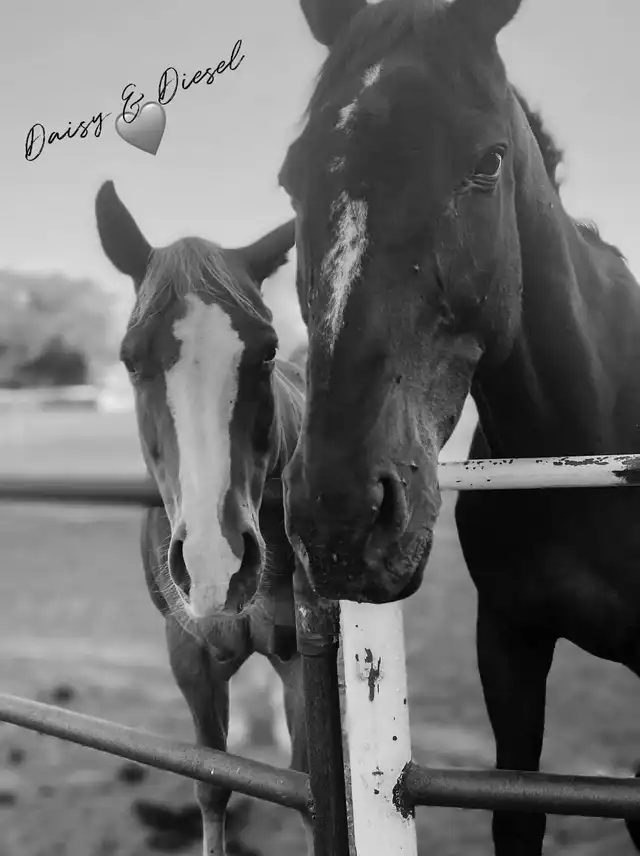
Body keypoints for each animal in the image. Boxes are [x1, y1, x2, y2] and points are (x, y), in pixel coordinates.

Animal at [94, 181, 310, 856]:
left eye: (266, 351)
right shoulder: (187, 653)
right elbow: (213, 784)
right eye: (130, 358)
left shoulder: (298, 656)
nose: (219, 563)